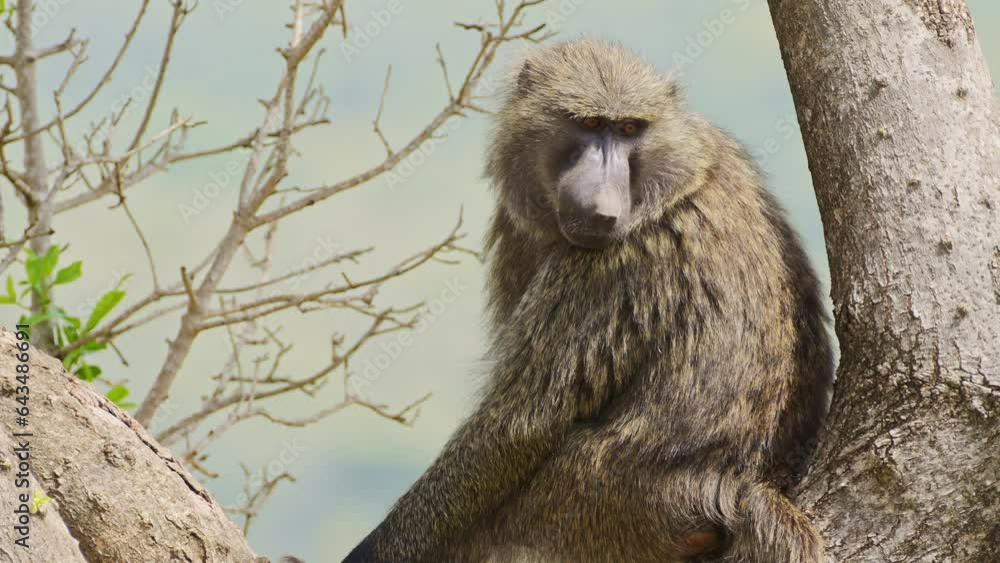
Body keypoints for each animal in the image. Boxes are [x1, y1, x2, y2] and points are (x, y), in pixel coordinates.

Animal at [342, 38, 833, 563]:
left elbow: (521, 425)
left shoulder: (604, 263)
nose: (603, 209)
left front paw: (377, 549)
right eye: (592, 125)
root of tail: (736, 482)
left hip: (608, 500)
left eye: (629, 129)